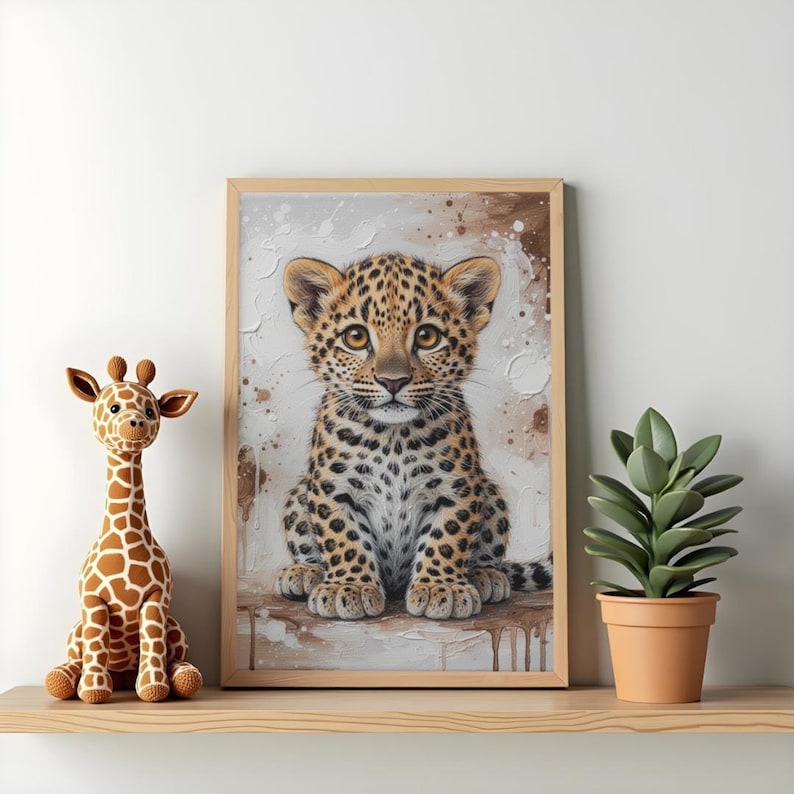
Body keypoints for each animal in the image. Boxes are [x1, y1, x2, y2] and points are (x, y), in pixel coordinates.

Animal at [274, 252, 552, 620]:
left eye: (427, 336)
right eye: (355, 337)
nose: (393, 381)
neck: (392, 437)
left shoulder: (457, 487)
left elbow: (447, 537)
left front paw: (442, 588)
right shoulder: (332, 488)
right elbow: (343, 537)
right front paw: (350, 587)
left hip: (491, 492)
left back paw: (486, 576)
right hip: (298, 494)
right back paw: (303, 572)